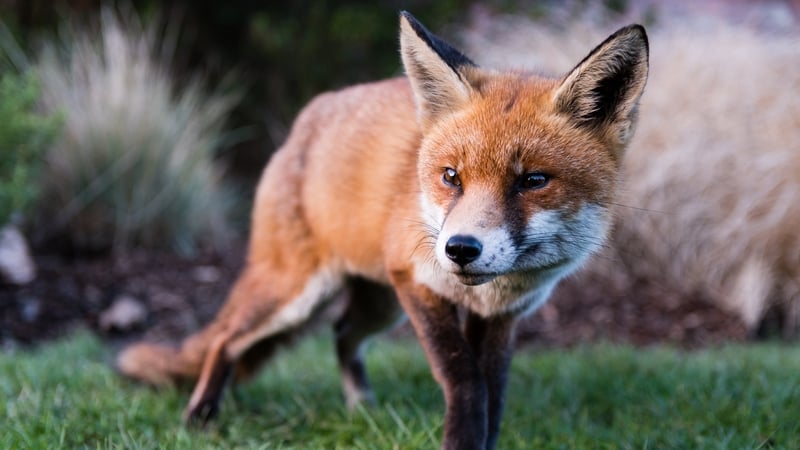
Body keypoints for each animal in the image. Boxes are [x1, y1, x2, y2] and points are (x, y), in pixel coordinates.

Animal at [117, 11, 648, 449]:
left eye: (533, 181)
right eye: (451, 176)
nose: (460, 249)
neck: (489, 292)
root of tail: (304, 121)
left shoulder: (503, 316)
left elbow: (493, 393)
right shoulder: (417, 282)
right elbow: (465, 382)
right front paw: (460, 441)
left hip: (378, 304)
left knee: (342, 333)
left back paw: (361, 409)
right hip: (298, 292)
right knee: (226, 338)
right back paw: (200, 417)